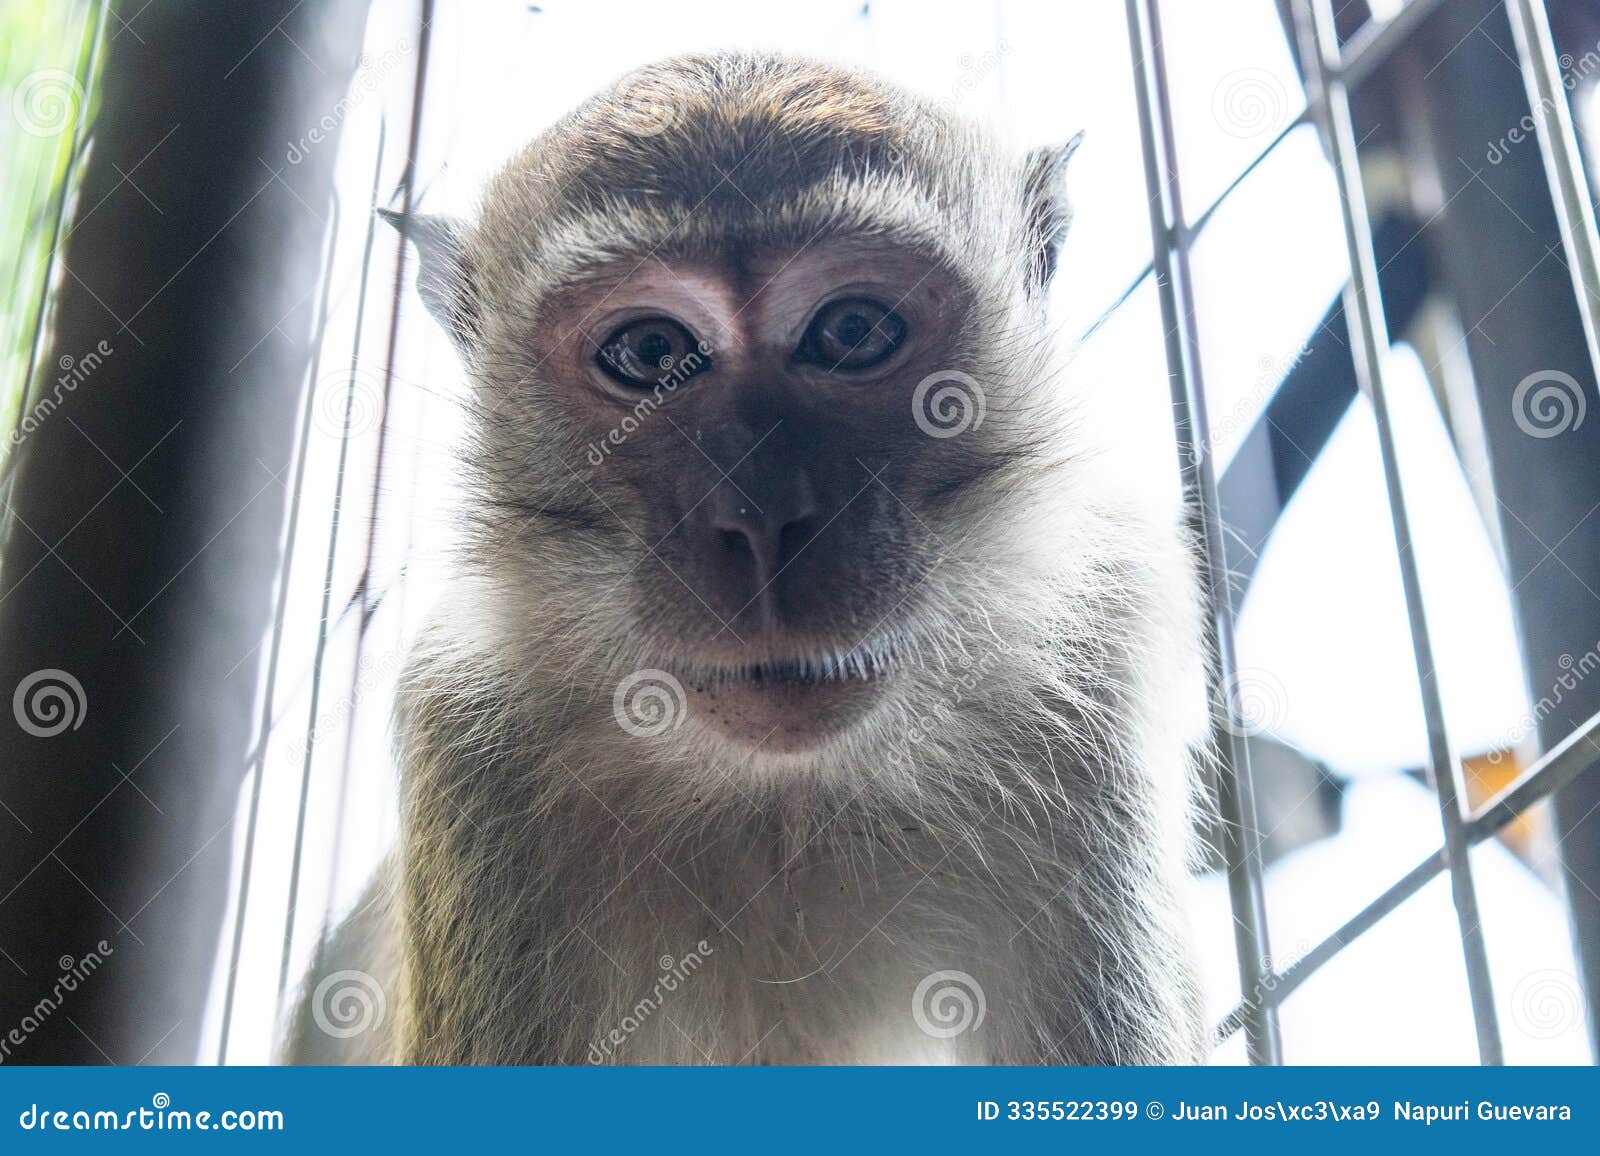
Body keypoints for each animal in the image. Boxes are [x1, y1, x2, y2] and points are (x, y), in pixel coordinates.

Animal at [284, 51, 1210, 1065]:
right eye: (652, 350)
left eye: (851, 332)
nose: (761, 520)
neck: (786, 799)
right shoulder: (471, 732)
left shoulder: (1102, 651)